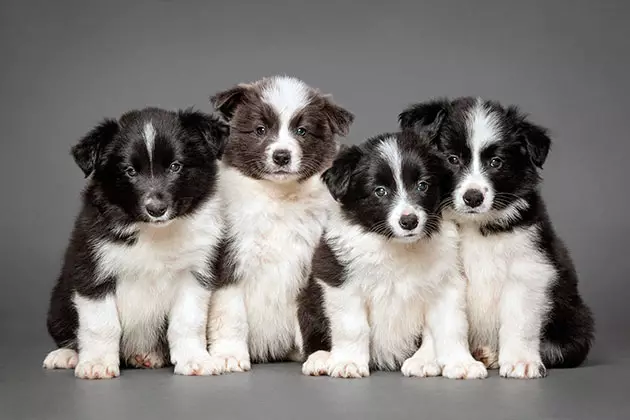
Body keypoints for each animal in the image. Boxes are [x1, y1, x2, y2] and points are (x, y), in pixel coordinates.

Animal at [43, 106, 230, 378]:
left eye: (175, 166)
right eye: (130, 171)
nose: (156, 209)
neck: (153, 232)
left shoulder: (195, 272)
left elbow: (188, 322)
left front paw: (194, 359)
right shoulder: (92, 271)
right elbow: (101, 324)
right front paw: (97, 363)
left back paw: (148, 356)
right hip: (58, 305)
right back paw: (67, 355)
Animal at [207, 74, 356, 370]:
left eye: (302, 131)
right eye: (260, 129)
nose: (281, 156)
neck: (279, 197)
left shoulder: (312, 262)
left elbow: (314, 312)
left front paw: (320, 355)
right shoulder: (229, 261)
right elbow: (231, 315)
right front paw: (229, 354)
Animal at [298, 131, 486, 380]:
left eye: (423, 185)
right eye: (380, 191)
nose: (409, 221)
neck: (397, 246)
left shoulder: (446, 283)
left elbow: (451, 326)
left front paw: (459, 363)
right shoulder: (339, 280)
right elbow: (352, 327)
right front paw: (348, 362)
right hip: (307, 298)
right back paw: (320, 358)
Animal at [400, 97, 596, 378]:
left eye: (496, 162)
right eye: (452, 159)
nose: (473, 197)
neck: (473, 226)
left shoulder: (527, 269)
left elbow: (519, 321)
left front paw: (521, 361)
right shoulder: (439, 272)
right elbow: (440, 322)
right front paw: (425, 358)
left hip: (575, 321)